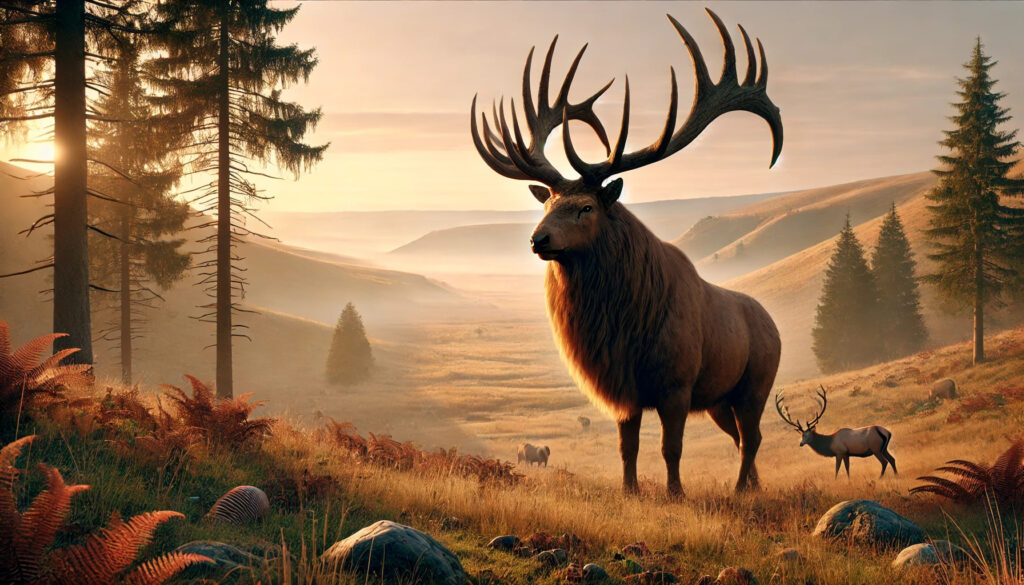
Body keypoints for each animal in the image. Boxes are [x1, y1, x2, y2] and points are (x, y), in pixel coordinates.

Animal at [469, 9, 784, 496]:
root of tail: (774, 326)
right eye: (546, 203)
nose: (538, 240)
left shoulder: (676, 384)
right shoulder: (622, 391)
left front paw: (675, 494)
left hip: (755, 385)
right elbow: (627, 448)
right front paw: (630, 491)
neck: (625, 325)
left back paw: (738, 490)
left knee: (752, 437)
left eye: (586, 207)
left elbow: (670, 448)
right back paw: (751, 486)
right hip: (719, 399)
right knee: (741, 439)